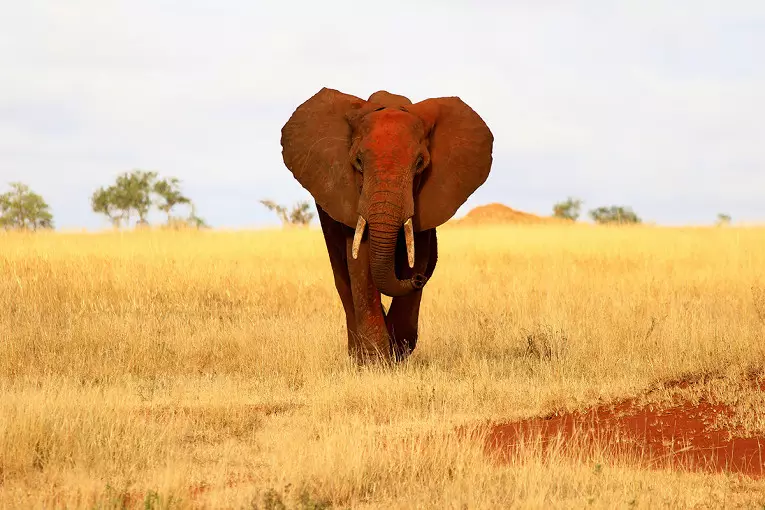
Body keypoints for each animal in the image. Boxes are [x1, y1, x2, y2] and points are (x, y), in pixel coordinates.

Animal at [280, 87, 496, 364]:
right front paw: (376, 362)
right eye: (358, 162)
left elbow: (418, 256)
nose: (418, 280)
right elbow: (360, 262)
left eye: (420, 164)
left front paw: (397, 352)